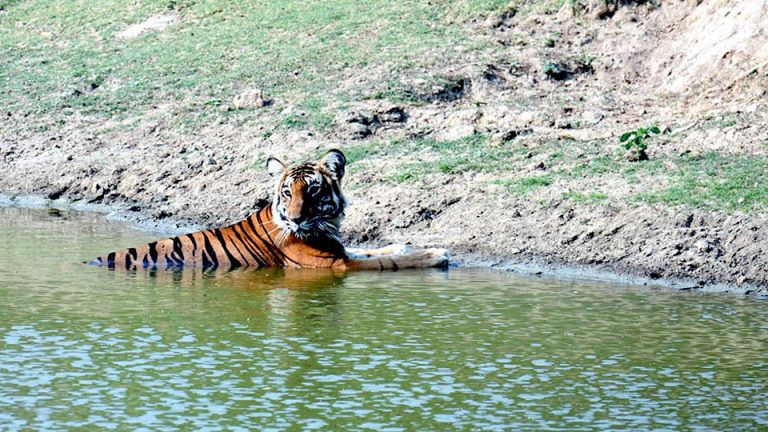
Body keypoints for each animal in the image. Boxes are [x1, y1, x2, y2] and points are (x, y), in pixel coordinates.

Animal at [88, 149, 449, 271]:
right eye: (288, 192)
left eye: (313, 190)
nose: (296, 219)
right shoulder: (335, 265)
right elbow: (387, 262)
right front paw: (435, 255)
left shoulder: (339, 250)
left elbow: (372, 249)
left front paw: (403, 244)